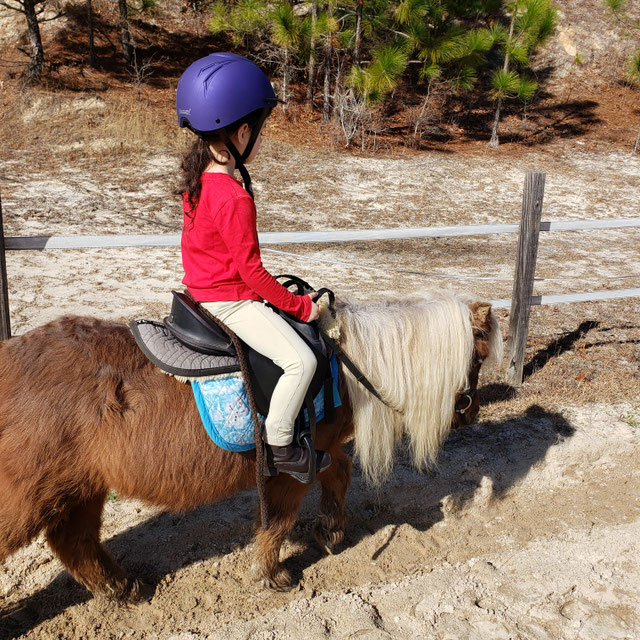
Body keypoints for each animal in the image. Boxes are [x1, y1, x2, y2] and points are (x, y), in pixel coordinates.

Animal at [0, 290, 502, 601]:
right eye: (478, 356)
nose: (470, 413)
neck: (341, 366)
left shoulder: (322, 448)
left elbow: (340, 474)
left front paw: (331, 531)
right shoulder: (291, 468)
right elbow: (279, 521)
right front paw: (274, 574)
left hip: (80, 487)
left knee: (75, 542)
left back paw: (122, 589)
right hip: (31, 496)